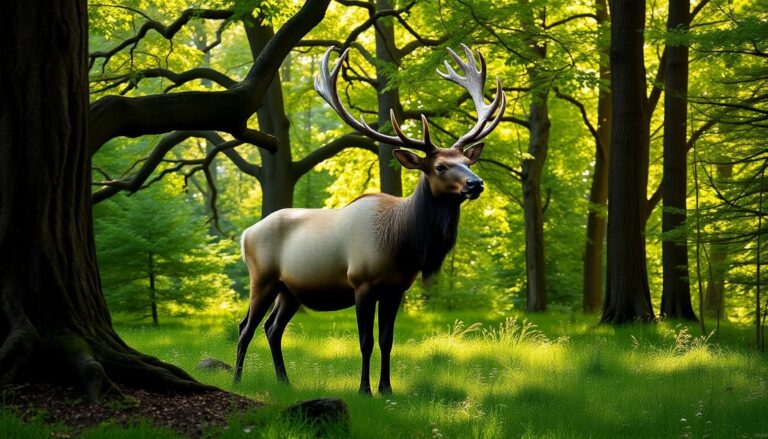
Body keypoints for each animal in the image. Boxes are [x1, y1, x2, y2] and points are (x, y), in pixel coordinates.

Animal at [234, 44, 506, 395]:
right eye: (440, 166)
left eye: (467, 162)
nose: (476, 183)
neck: (405, 245)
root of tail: (245, 234)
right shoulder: (361, 283)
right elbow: (365, 341)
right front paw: (364, 389)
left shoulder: (396, 288)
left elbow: (387, 341)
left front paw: (386, 388)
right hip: (263, 278)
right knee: (245, 327)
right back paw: (237, 378)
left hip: (290, 289)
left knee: (272, 328)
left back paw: (285, 381)